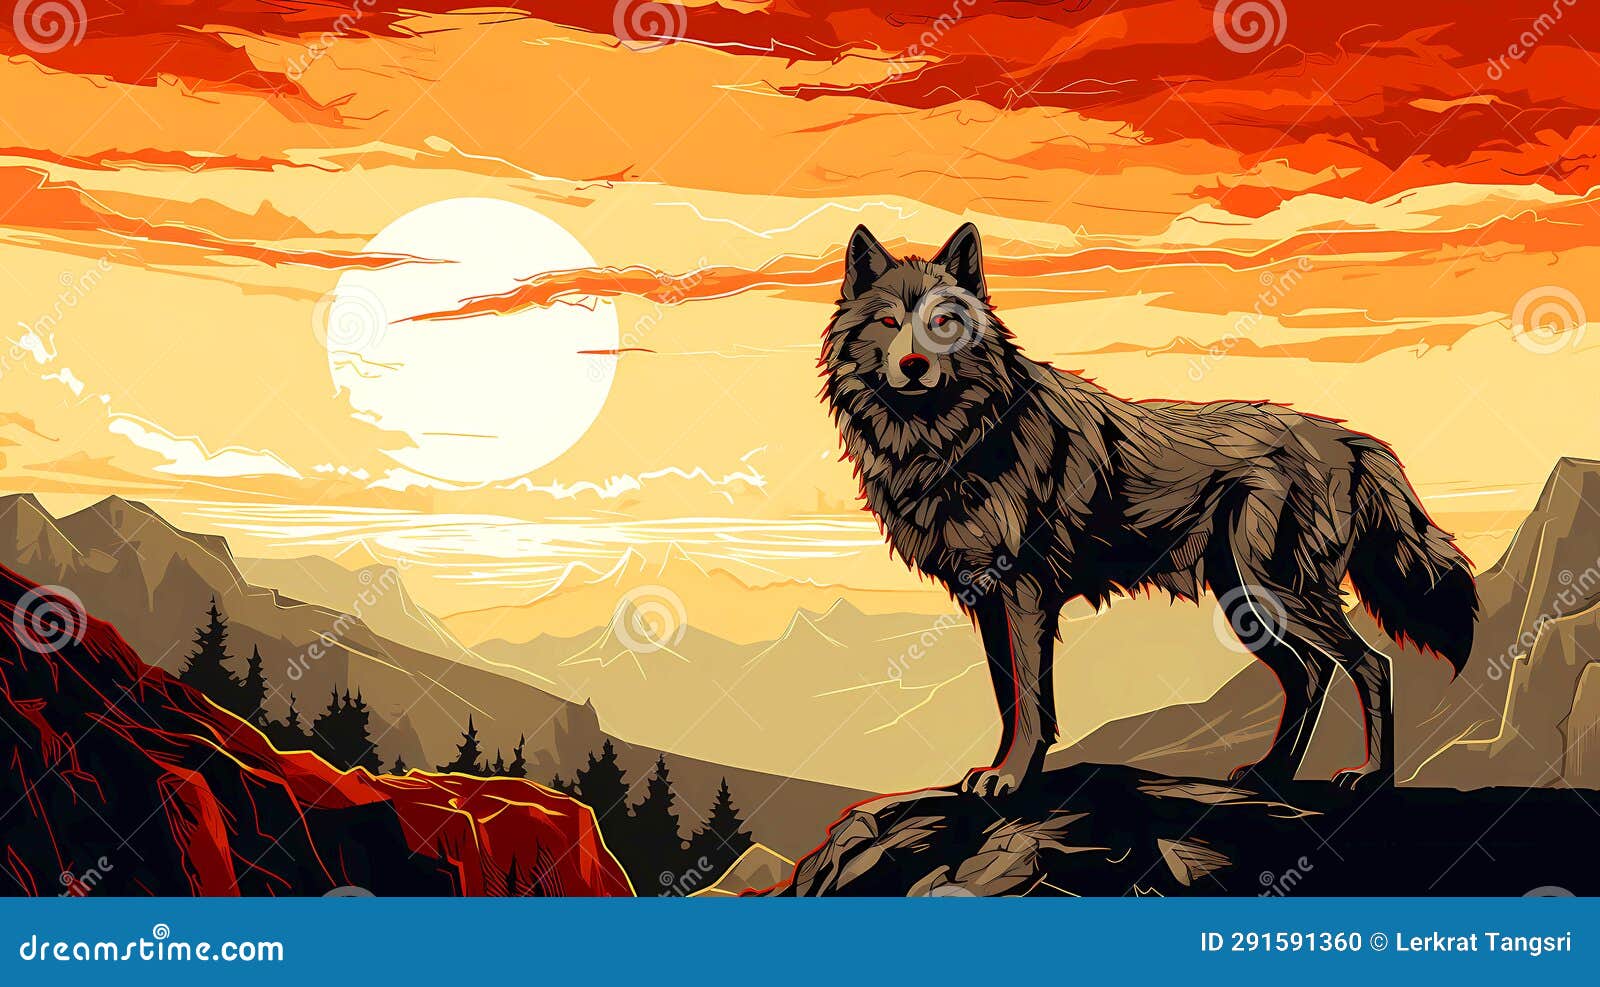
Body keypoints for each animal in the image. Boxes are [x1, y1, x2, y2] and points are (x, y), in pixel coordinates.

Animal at [822, 223, 1478, 796]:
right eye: (888, 322)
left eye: (944, 323)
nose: (913, 366)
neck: (953, 441)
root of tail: (1344, 435)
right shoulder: (985, 598)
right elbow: (1008, 700)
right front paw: (1002, 770)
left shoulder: (1026, 592)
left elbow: (1032, 702)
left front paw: (1011, 778)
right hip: (1245, 597)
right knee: (1309, 674)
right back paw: (1272, 775)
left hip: (1277, 589)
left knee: (1369, 665)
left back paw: (1369, 777)